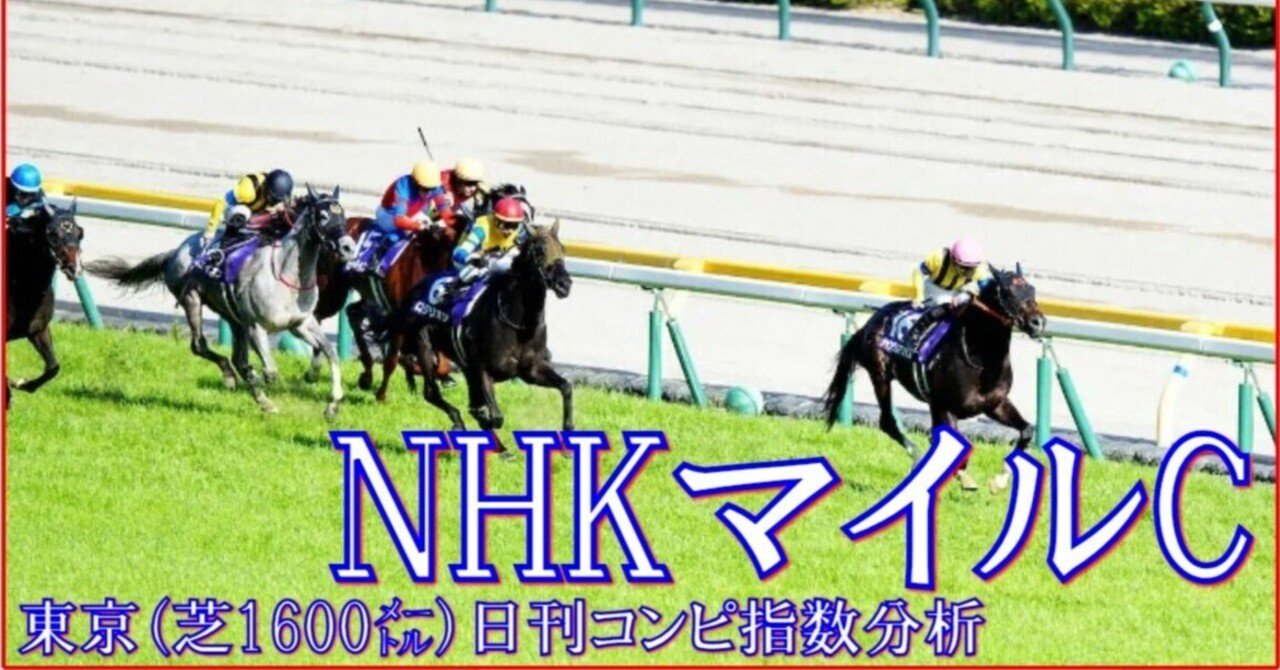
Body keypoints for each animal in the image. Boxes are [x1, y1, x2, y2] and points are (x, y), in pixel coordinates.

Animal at [5, 202, 84, 409]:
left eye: (80, 233)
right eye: (53, 235)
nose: (75, 268)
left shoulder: (38, 329)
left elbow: (53, 367)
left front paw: (23, 384)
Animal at [88, 186, 357, 418]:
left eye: (343, 215)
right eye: (322, 216)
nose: (348, 247)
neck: (285, 274)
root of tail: (177, 251)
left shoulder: (301, 324)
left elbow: (330, 351)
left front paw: (331, 403)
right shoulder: (256, 326)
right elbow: (269, 372)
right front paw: (258, 380)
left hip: (234, 318)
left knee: (237, 358)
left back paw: (263, 401)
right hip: (193, 301)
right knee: (200, 346)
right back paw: (231, 377)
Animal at [392, 220, 574, 433]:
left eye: (562, 248)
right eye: (539, 251)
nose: (564, 284)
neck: (520, 326)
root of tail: (417, 287)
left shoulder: (532, 370)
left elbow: (566, 386)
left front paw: (568, 427)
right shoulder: (483, 370)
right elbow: (496, 417)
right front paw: (484, 421)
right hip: (423, 343)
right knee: (430, 391)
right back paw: (457, 421)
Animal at [821, 265, 1046, 491]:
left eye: (1032, 290)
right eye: (1008, 292)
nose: (1038, 322)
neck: (981, 359)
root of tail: (873, 319)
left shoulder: (994, 404)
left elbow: (1027, 430)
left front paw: (999, 481)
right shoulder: (948, 407)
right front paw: (964, 477)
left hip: (930, 402)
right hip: (881, 376)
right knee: (887, 422)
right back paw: (918, 459)